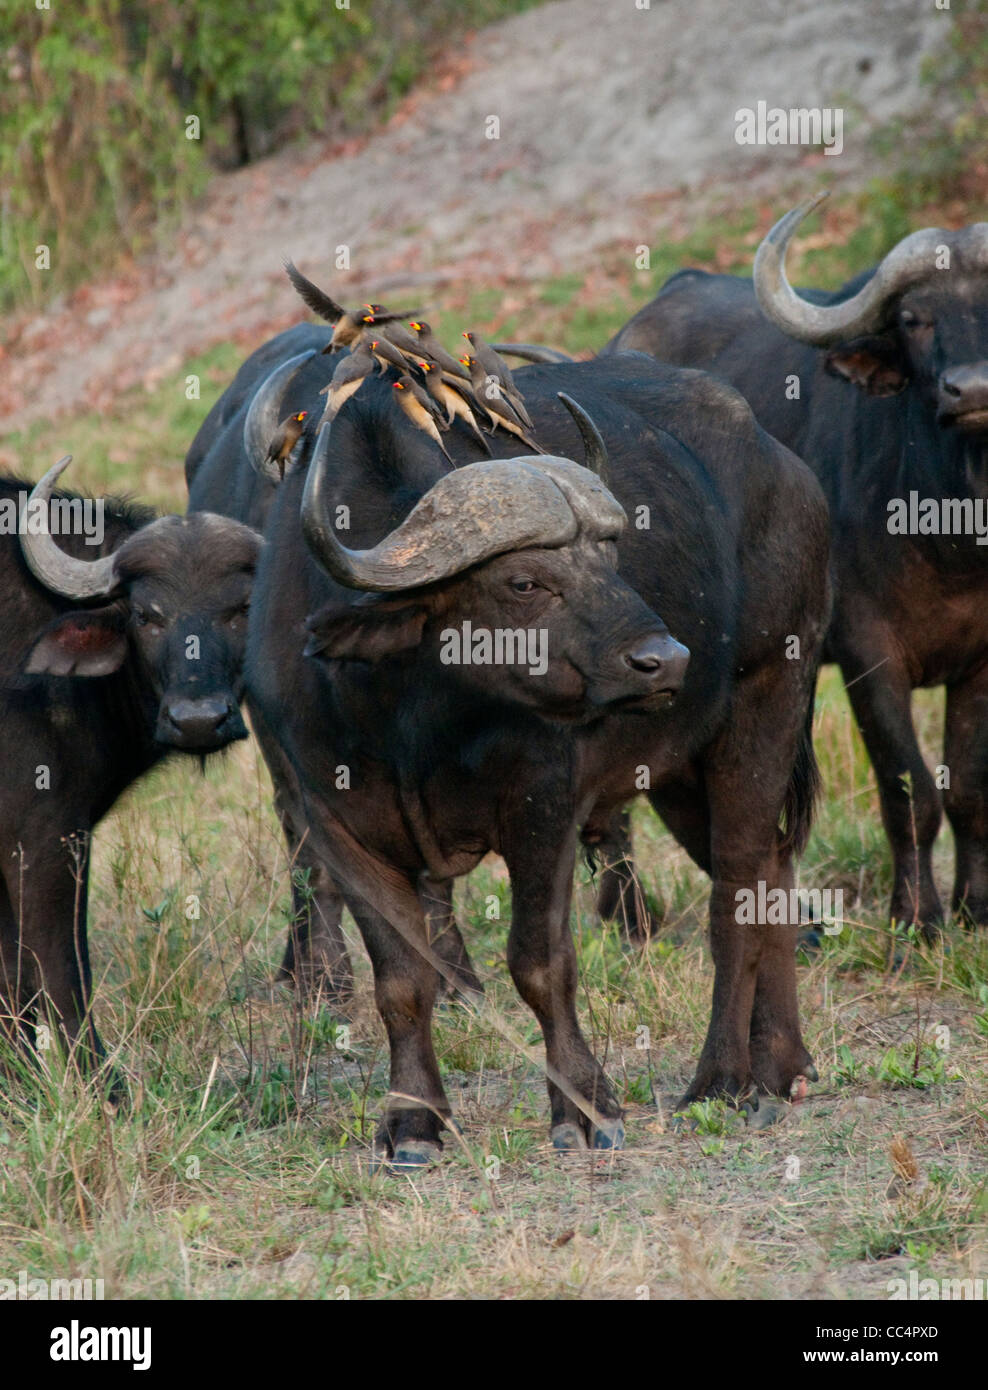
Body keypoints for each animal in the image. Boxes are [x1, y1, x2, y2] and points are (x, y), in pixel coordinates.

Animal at [0, 458, 261, 1078]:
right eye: (147, 616)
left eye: (242, 610)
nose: (198, 721)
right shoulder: (42, 835)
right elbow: (61, 963)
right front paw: (97, 1081)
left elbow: (15, 972)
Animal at [187, 323, 829, 1166]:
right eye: (524, 582)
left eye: (608, 556)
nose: (666, 659)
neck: (409, 718)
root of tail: (786, 467)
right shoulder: (335, 825)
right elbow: (402, 981)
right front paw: (412, 1121)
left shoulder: (544, 808)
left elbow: (540, 963)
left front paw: (585, 1108)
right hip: (683, 767)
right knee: (772, 874)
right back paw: (783, 1065)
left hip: (768, 700)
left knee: (736, 892)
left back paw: (723, 1080)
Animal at [602, 195, 988, 937]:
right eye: (914, 319)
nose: (971, 389)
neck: (953, 531)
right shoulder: (869, 654)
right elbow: (909, 789)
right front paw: (916, 919)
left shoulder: (982, 660)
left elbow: (968, 789)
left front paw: (974, 908)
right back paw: (631, 918)